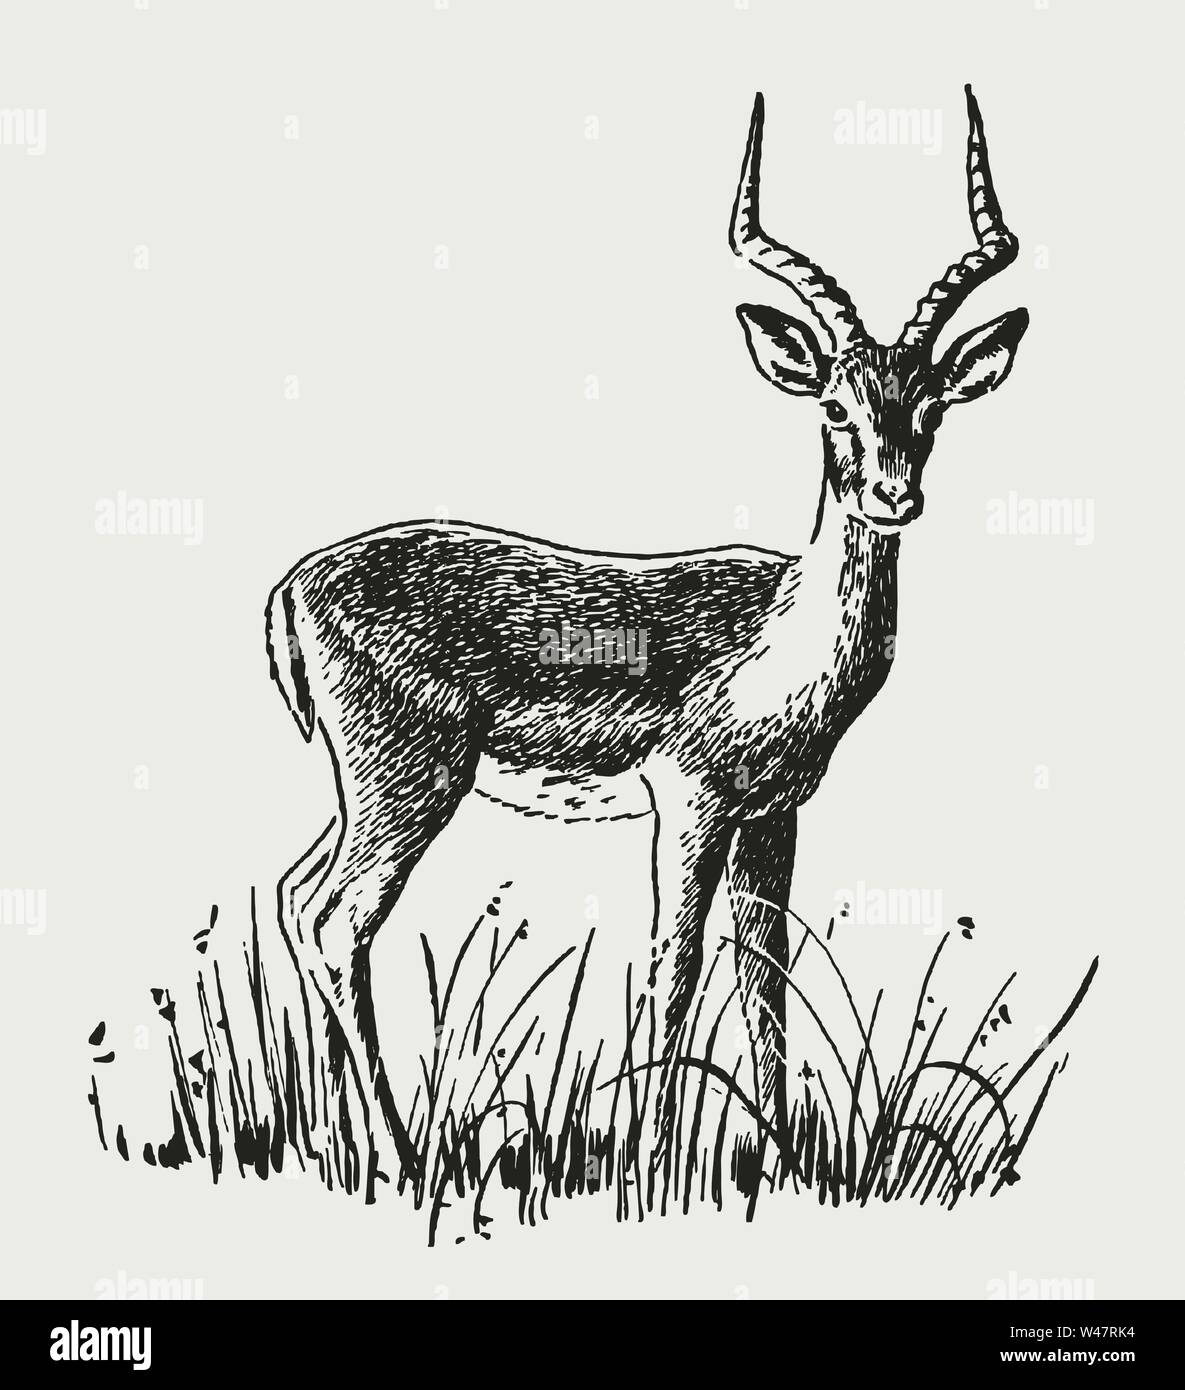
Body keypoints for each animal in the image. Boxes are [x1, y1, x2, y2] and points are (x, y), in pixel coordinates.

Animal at [267, 86, 1028, 1188]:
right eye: (834, 406)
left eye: (928, 406)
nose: (893, 495)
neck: (779, 636)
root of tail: (291, 586)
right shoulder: (691, 802)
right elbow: (674, 971)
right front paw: (653, 1166)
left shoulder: (773, 814)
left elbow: (765, 977)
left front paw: (784, 1164)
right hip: (407, 785)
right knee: (336, 923)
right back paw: (405, 1161)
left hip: (364, 789)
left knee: (293, 899)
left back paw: (346, 1151)